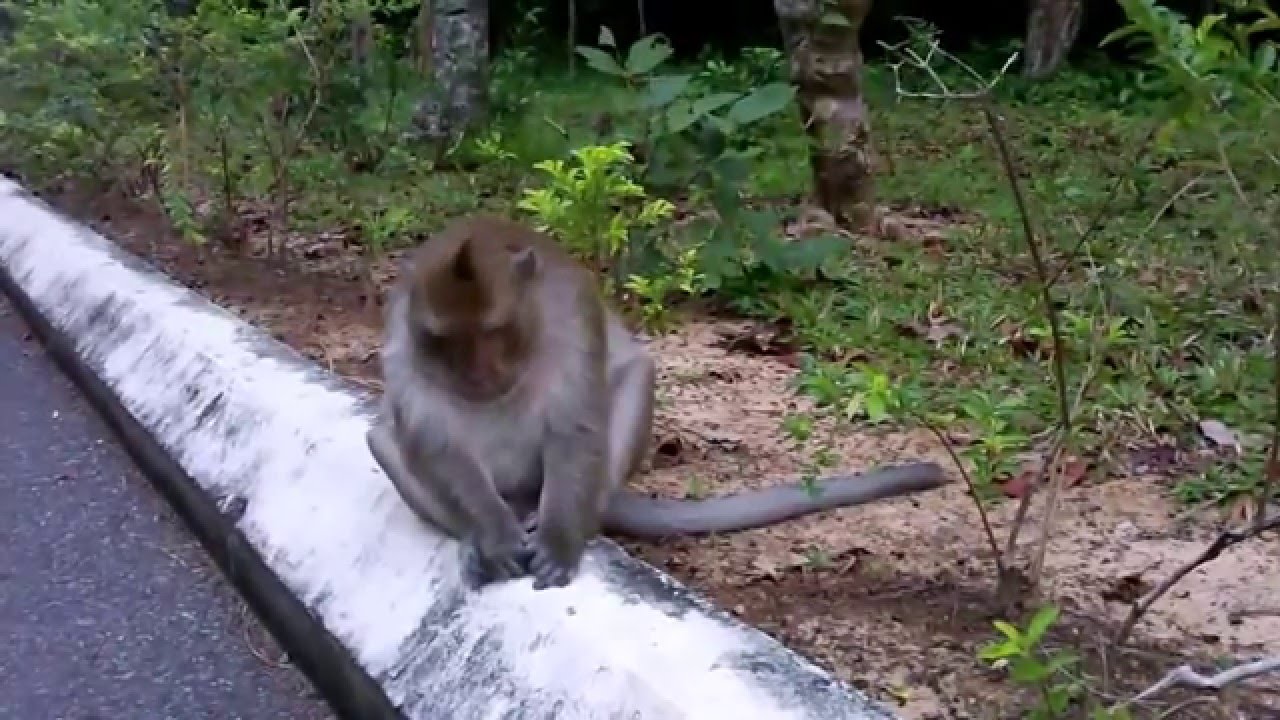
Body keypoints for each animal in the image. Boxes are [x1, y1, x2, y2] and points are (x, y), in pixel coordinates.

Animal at [367, 215, 950, 592]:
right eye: (443, 340)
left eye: (494, 331)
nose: (479, 373)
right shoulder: (399, 335)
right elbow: (433, 439)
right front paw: (494, 537)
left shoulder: (569, 312)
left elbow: (576, 425)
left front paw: (558, 544)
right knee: (383, 438)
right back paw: (480, 539)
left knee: (632, 381)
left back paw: (573, 521)